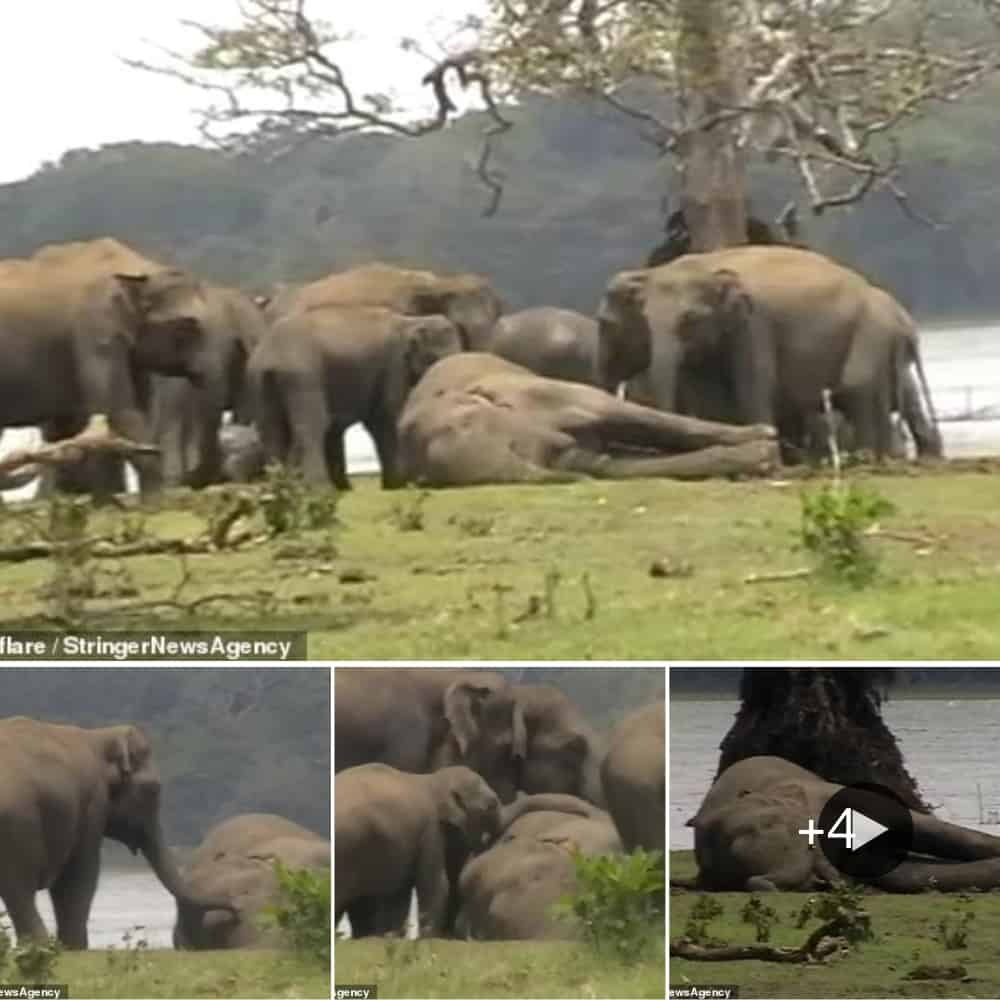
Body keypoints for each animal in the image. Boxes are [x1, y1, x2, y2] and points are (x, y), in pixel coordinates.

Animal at [0, 716, 236, 948]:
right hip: (19, 824)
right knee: (20, 890)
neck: (98, 736)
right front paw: (74, 949)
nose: (234, 906)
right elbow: (79, 877)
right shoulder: (93, 803)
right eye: (153, 789)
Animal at [248, 305, 464, 489]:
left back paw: (281, 488)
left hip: (259, 381)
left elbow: (339, 427)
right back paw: (320, 489)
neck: (411, 321)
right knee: (311, 426)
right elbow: (384, 417)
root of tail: (270, 356)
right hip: (303, 377)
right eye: (436, 359)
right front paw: (397, 485)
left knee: (271, 430)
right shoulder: (393, 366)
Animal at [335, 763, 502, 937]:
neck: (435, 779)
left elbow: (400, 892)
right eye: (491, 805)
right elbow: (435, 883)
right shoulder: (431, 830)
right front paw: (429, 937)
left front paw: (393, 936)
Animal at [396, 353, 779, 487]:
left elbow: (627, 414)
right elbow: (613, 465)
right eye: (517, 450)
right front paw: (760, 456)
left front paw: (763, 436)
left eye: (501, 417)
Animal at [597, 246, 941, 462]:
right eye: (643, 319)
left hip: (872, 331)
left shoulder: (754, 326)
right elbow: (707, 393)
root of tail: (904, 318)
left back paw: (869, 459)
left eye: (690, 320)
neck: (707, 264)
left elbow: (754, 384)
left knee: (858, 386)